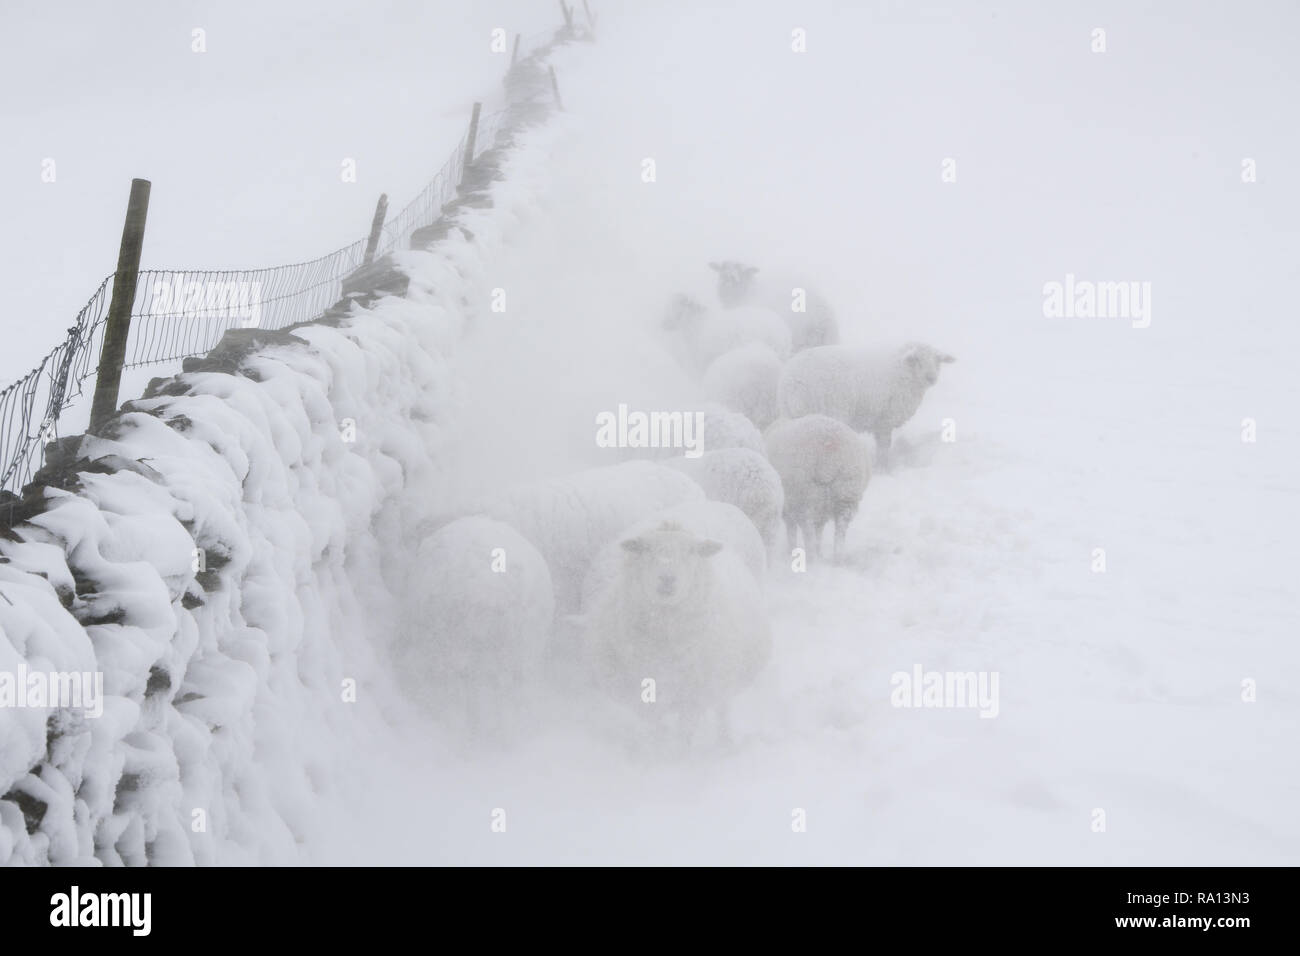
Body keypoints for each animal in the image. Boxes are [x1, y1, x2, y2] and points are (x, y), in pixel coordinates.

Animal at [583, 520, 773, 743]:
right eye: (646, 548)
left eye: (691, 550)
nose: (667, 579)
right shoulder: (645, 696)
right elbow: (656, 730)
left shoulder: (694, 697)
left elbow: (685, 736)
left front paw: (678, 752)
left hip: (723, 676)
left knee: (722, 709)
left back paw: (725, 740)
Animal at [764, 415, 871, 563]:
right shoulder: (821, 511)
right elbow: (819, 531)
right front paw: (820, 551)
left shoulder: (788, 508)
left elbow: (791, 531)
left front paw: (791, 550)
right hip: (846, 494)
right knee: (840, 530)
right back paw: (837, 558)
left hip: (805, 497)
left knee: (808, 532)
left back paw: (812, 558)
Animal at [777, 342, 955, 467]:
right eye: (917, 360)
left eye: (937, 360)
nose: (931, 378)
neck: (902, 370)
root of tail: (792, 382)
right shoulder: (884, 420)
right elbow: (883, 449)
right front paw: (884, 470)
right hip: (829, 411)